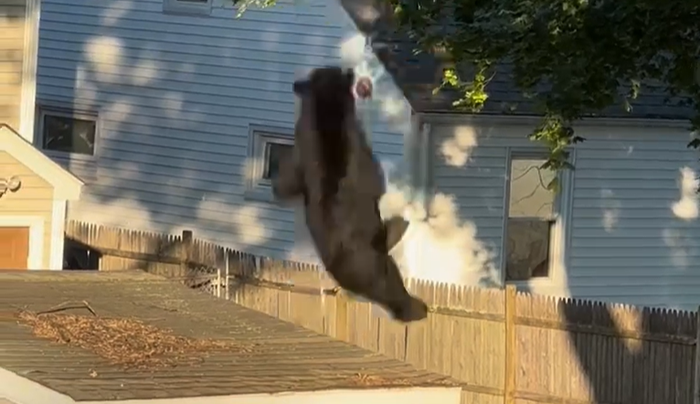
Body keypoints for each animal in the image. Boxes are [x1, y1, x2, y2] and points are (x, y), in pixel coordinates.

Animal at [272, 66, 427, 323]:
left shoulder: (299, 157)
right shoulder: (366, 159)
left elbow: (286, 184)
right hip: (384, 268)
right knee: (395, 292)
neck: (328, 108)